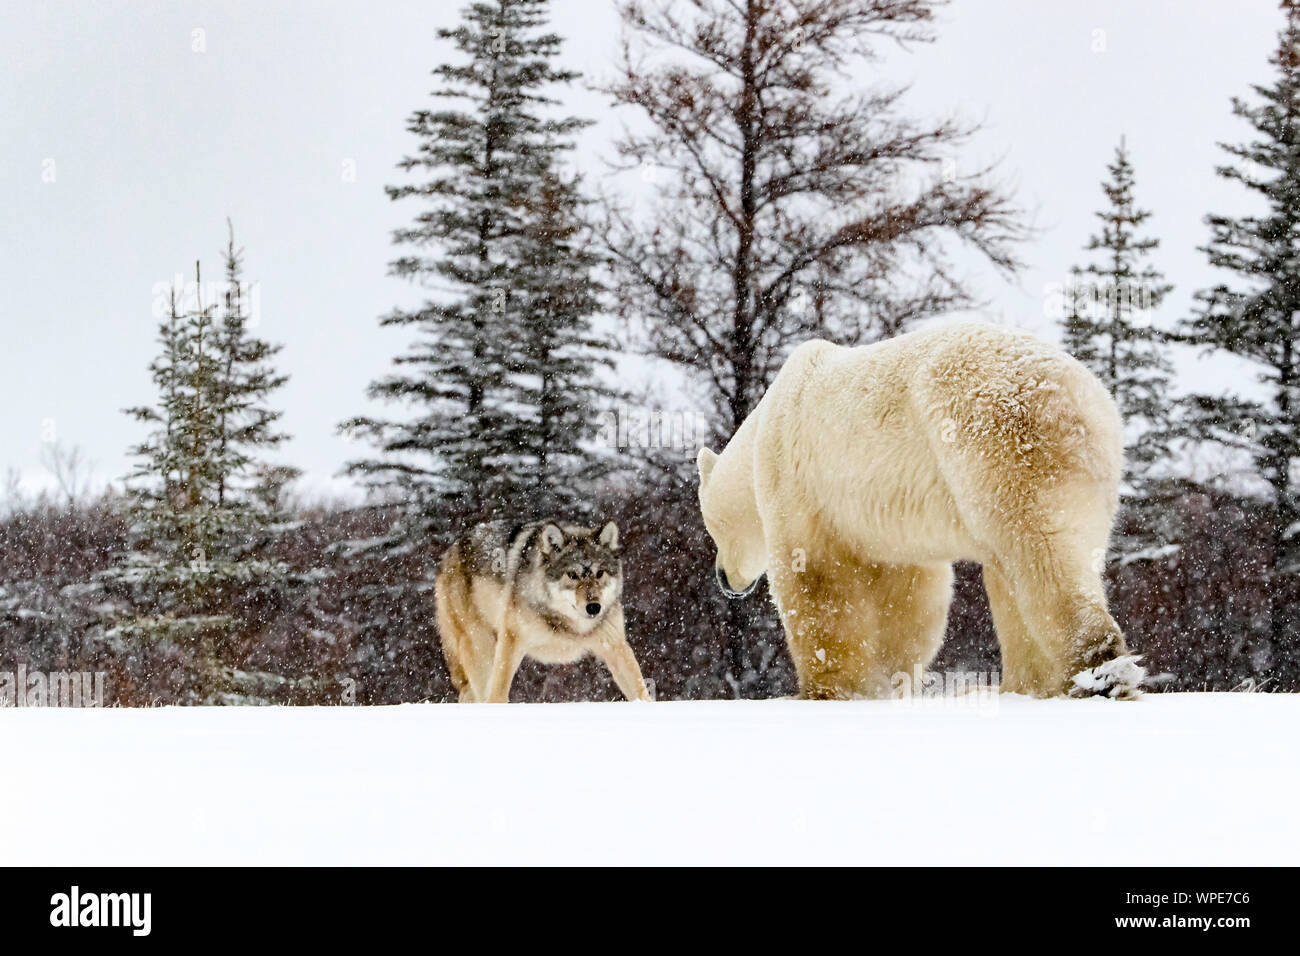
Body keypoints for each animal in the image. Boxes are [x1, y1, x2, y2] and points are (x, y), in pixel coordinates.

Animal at [434, 520, 651, 703]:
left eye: (600, 574)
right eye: (572, 575)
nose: (594, 607)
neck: (568, 623)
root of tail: (450, 550)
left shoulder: (615, 645)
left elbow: (641, 690)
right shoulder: (512, 640)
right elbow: (498, 692)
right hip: (481, 647)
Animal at [695, 321, 1145, 700]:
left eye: (712, 528)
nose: (724, 579)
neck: (761, 429)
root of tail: (1077, 396)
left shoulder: (797, 478)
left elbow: (816, 581)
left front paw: (825, 689)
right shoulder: (884, 521)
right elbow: (908, 594)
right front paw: (885, 680)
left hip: (996, 443)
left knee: (1041, 555)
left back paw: (1096, 673)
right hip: (1088, 474)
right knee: (1023, 573)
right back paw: (1020, 687)